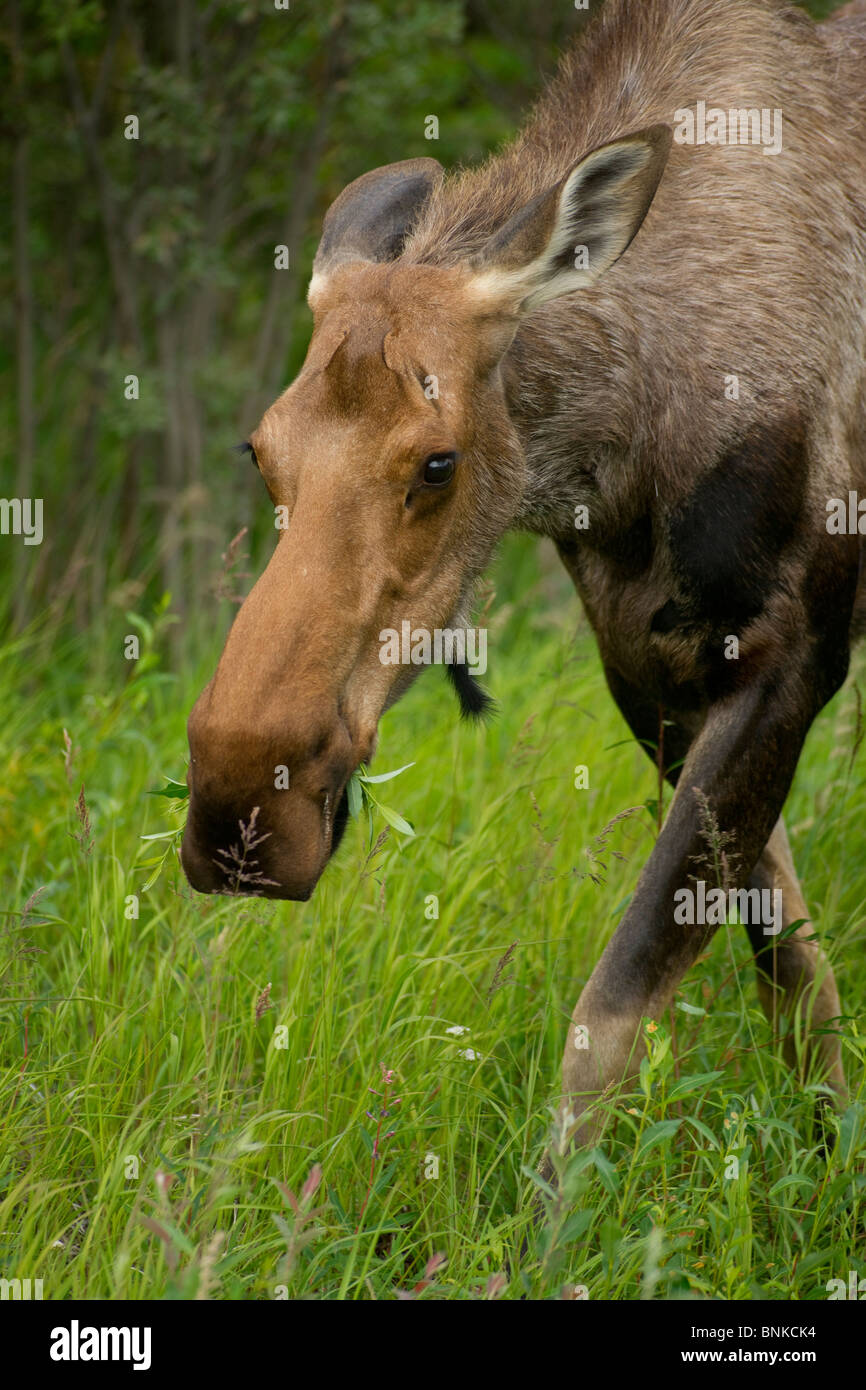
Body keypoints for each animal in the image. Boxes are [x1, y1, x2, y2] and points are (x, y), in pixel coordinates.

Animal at [181, 0, 866, 1160]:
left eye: (437, 462)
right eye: (260, 449)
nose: (238, 814)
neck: (621, 458)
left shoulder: (800, 647)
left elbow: (614, 1008)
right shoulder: (648, 668)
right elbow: (788, 963)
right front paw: (825, 1150)